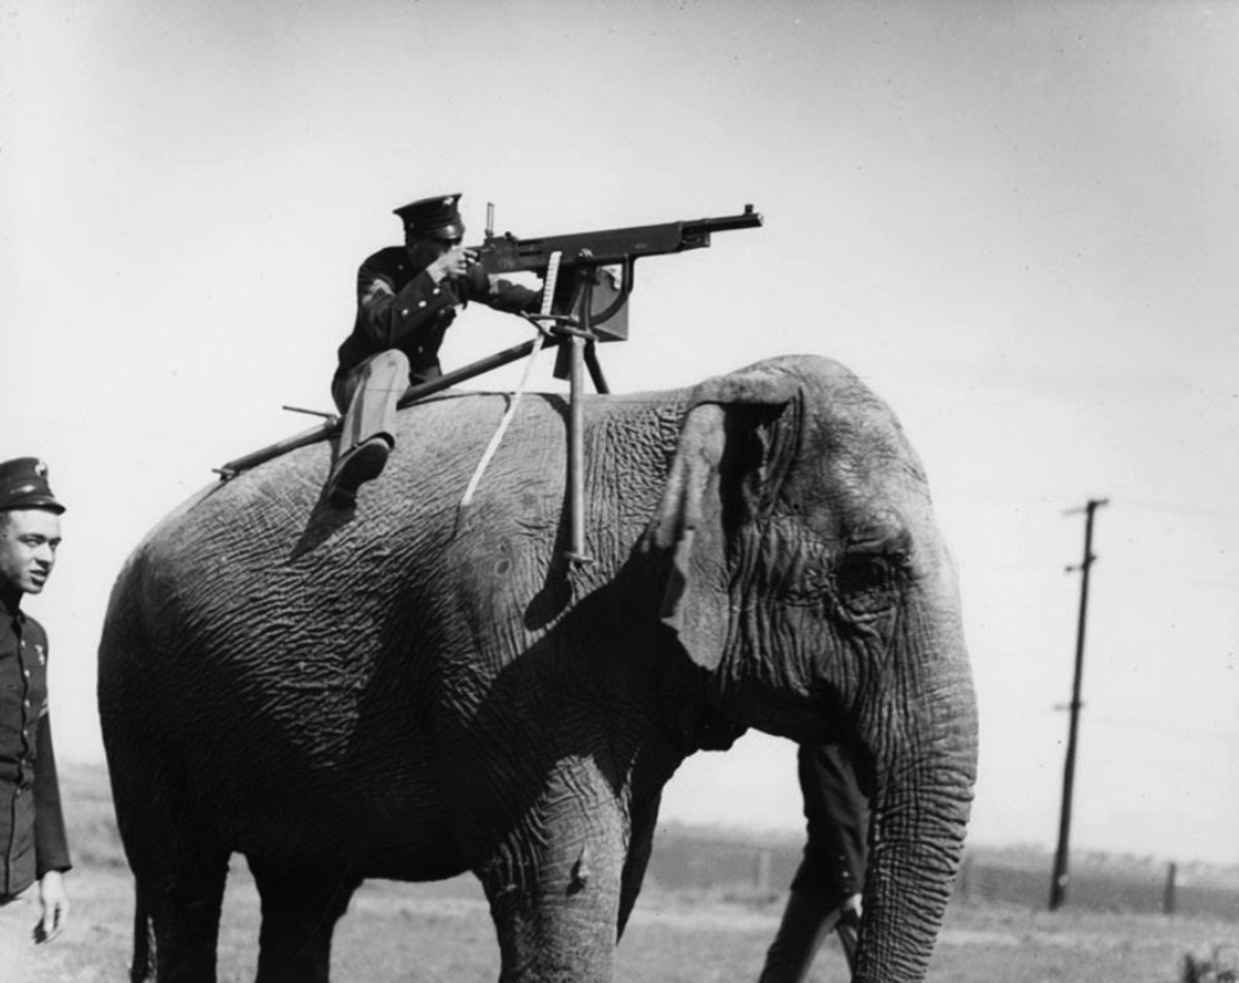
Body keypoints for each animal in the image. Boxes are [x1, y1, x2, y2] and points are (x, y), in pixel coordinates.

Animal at [97, 353, 977, 983]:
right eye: (868, 572)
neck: (691, 403)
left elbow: (619, 870)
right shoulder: (510, 632)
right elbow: (561, 878)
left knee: (302, 895)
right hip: (135, 693)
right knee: (180, 879)